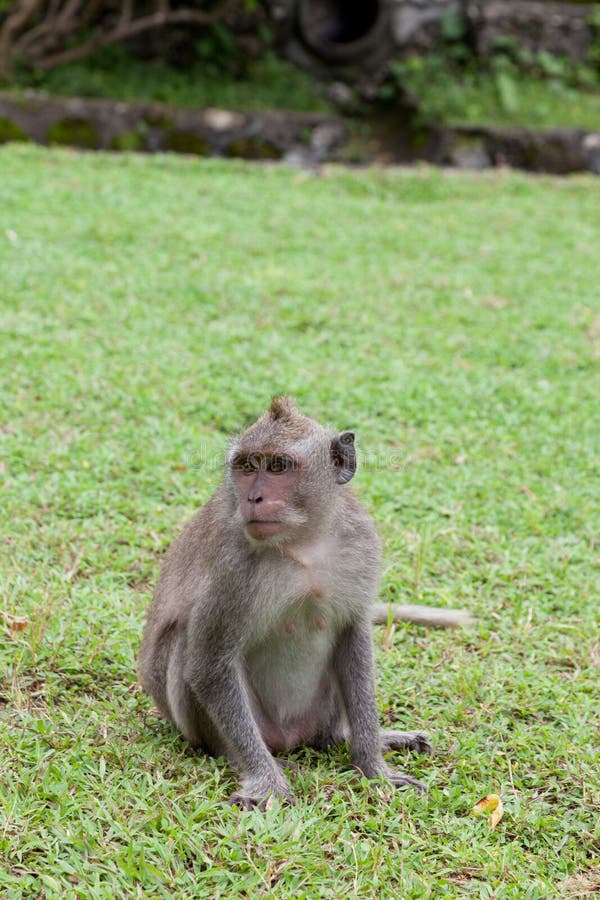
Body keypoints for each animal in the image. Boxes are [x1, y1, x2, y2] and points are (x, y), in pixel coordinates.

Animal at [139, 397, 442, 809]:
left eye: (278, 467)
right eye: (247, 467)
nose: (253, 498)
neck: (303, 543)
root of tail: (291, 738)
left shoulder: (362, 540)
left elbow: (352, 639)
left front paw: (373, 767)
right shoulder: (232, 569)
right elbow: (208, 662)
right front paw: (266, 781)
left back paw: (345, 738)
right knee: (186, 642)